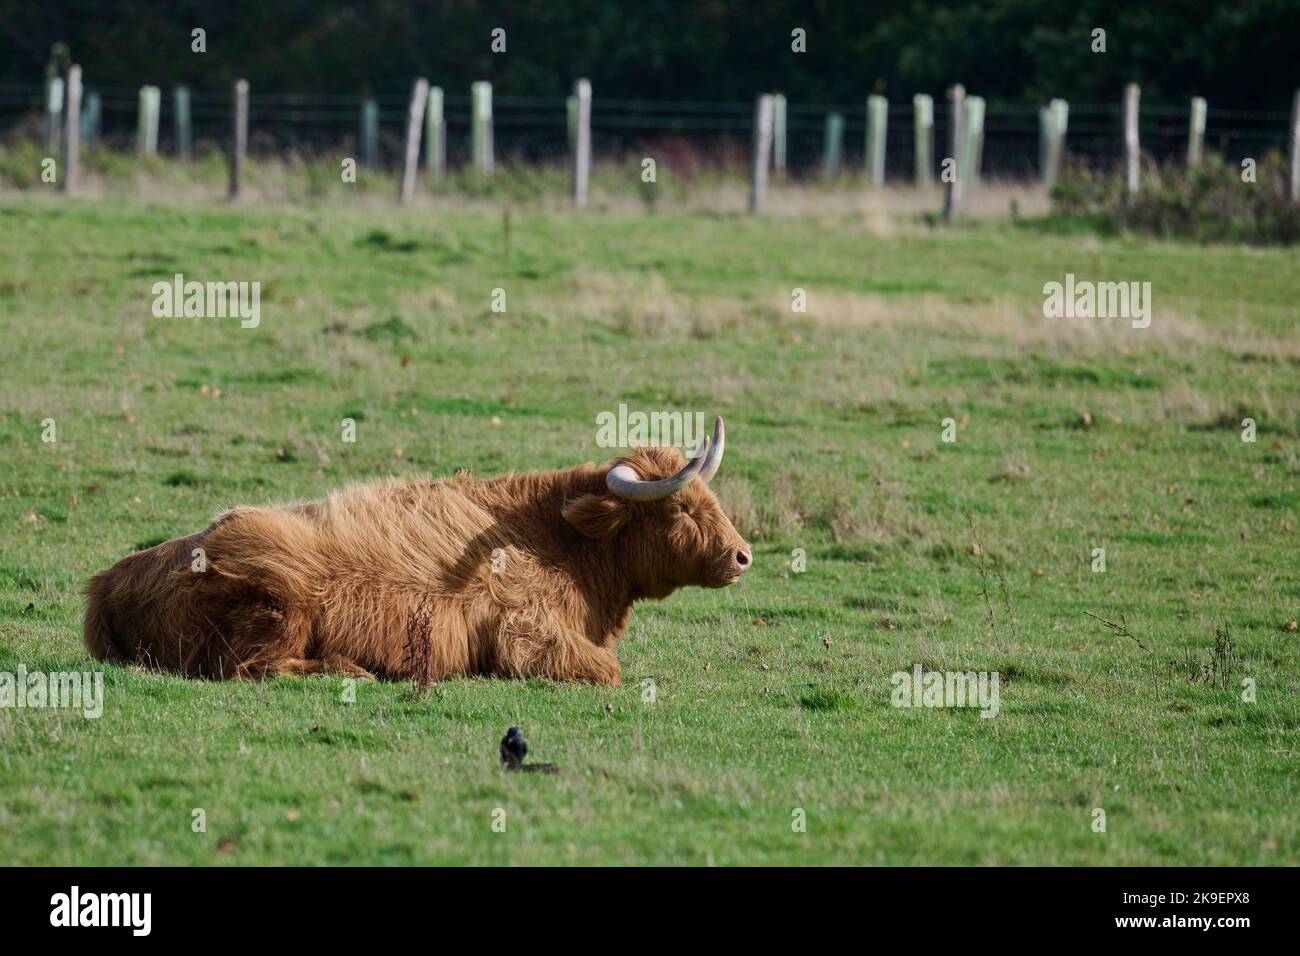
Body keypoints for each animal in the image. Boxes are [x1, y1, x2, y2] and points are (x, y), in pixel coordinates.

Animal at [83, 417, 750, 686]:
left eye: (710, 497)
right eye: (680, 509)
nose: (743, 556)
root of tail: (109, 581)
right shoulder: (526, 635)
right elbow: (607, 670)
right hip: (278, 607)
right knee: (253, 668)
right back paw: (350, 670)